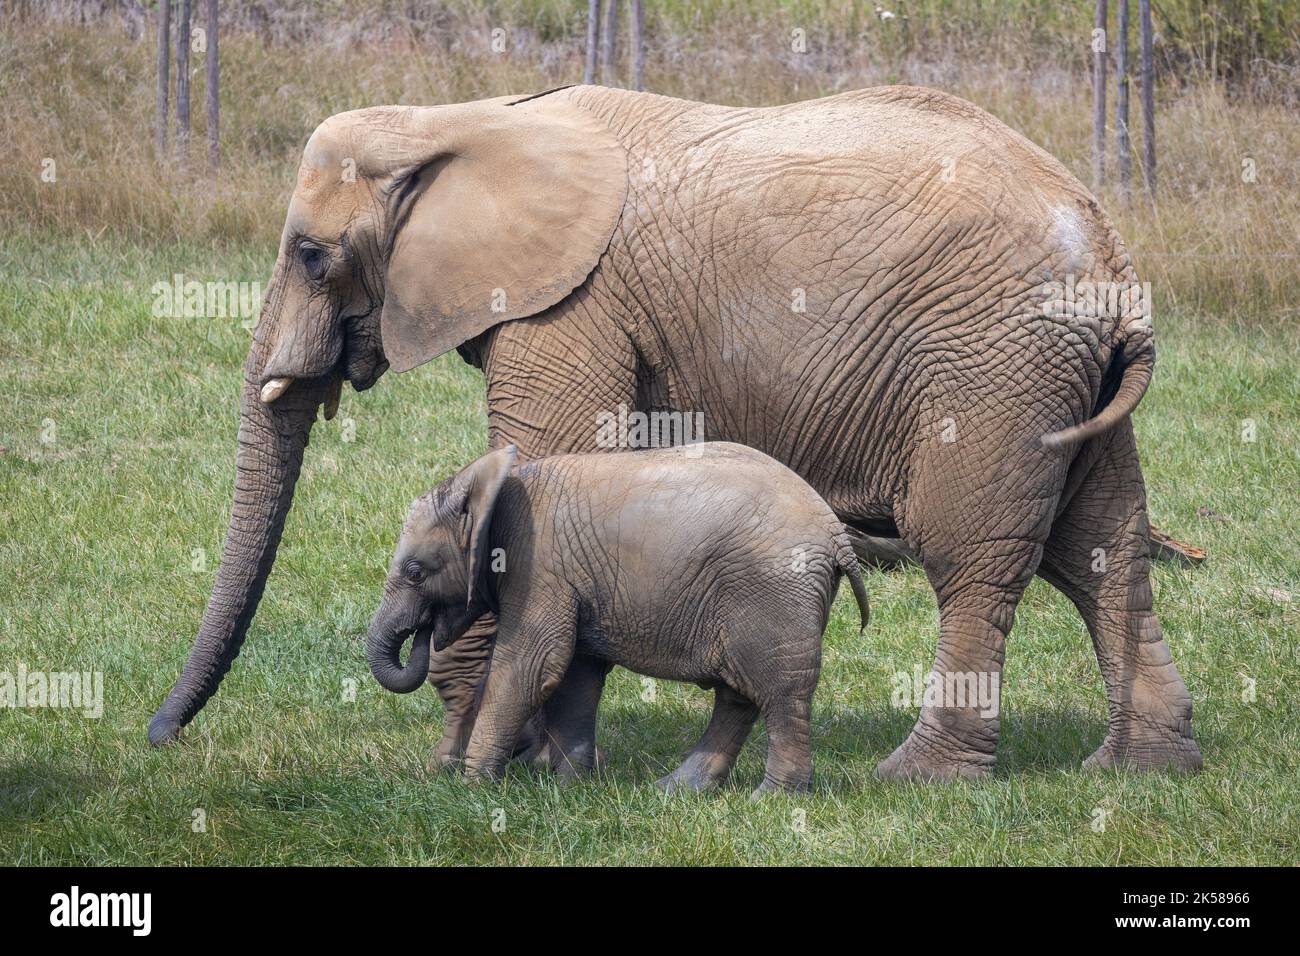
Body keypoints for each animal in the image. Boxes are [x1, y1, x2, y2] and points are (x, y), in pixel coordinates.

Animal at [366, 442, 871, 794]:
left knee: (780, 693)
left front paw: (475, 790)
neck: (495, 484)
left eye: (415, 572)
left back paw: (773, 798)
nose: (425, 632)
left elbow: (531, 668)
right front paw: (570, 787)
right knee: (739, 695)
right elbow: (576, 675)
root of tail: (834, 532)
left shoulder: (539, 567)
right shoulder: (569, 578)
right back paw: (677, 791)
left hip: (772, 592)